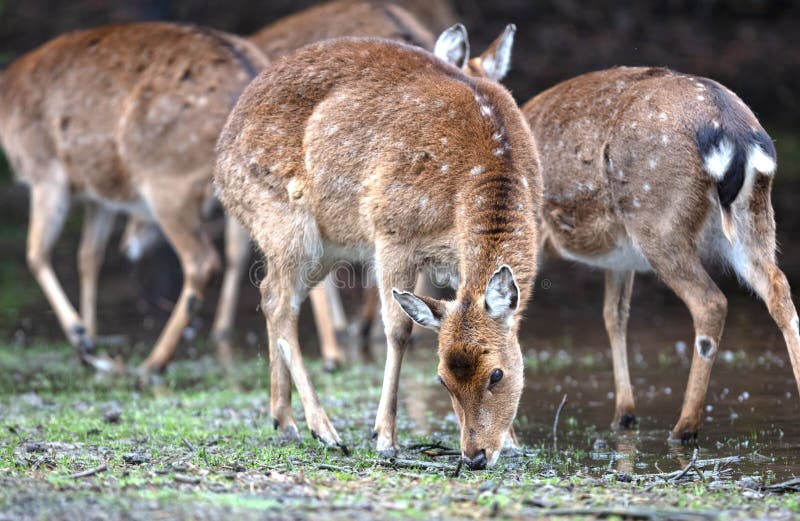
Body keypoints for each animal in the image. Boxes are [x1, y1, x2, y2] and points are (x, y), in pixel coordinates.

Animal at [0, 22, 269, 372]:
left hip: (167, 179)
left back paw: (153, 363)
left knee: (203, 262)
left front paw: (80, 337)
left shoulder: (45, 172)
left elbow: (36, 254)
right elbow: (89, 257)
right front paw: (90, 344)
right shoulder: (98, 196)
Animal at [214, 36, 541, 469]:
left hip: (325, 244)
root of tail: (218, 165)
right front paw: (384, 438)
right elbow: (398, 329)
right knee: (280, 304)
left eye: (497, 374)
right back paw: (325, 430)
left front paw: (515, 440)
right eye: (442, 379)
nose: (475, 455)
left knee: (271, 294)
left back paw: (284, 421)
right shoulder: (392, 232)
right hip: (283, 221)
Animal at [443, 25, 800, 442]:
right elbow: (614, 316)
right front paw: (625, 414)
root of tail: (736, 136)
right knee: (778, 288)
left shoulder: (534, 233)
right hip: (752, 218)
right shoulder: (620, 258)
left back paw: (684, 426)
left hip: (657, 218)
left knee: (711, 302)